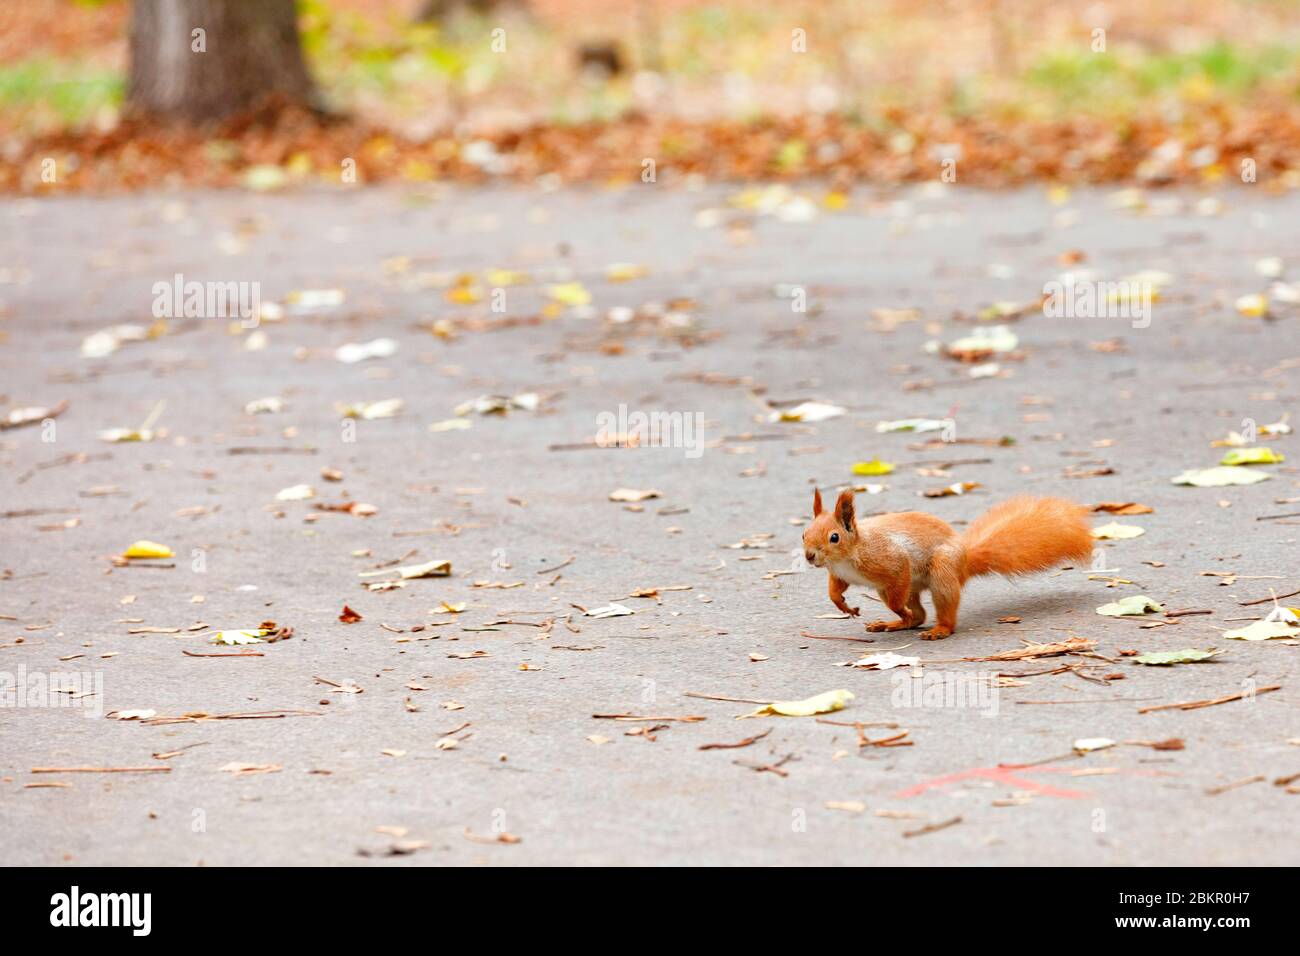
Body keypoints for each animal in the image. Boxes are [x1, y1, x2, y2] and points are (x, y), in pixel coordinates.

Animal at [802, 489, 1093, 640]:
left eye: (834, 537)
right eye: (804, 534)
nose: (809, 556)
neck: (848, 556)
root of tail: (964, 559)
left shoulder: (892, 561)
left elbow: (899, 581)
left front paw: (900, 611)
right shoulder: (839, 573)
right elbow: (835, 589)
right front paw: (842, 604)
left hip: (941, 571)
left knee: (939, 611)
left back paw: (937, 628)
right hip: (907, 588)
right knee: (920, 615)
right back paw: (894, 624)